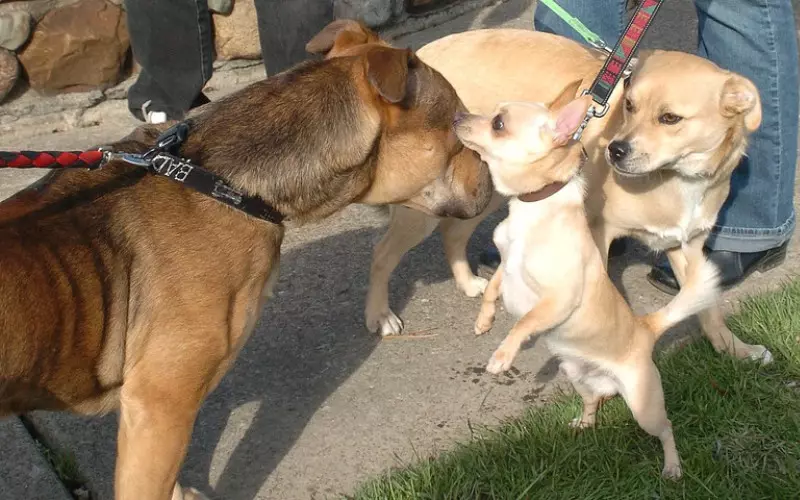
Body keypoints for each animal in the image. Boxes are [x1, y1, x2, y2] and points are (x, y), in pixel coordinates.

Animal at [352, 27, 768, 362]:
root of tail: (419, 55)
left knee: (453, 231)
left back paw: (468, 282)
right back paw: (379, 315)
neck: (676, 179)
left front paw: (734, 349)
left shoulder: (688, 248)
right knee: (382, 254)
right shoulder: (597, 235)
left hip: (484, 190)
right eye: (629, 106)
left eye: (670, 118)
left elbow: (708, 306)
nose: (615, 150)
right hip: (423, 205)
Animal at [454, 84, 720, 478]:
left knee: (666, 429)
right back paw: (584, 423)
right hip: (578, 379)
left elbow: (525, 322)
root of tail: (644, 329)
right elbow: (492, 289)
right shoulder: (506, 261)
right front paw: (484, 321)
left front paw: (502, 355)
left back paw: (672, 467)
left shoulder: (559, 297)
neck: (532, 209)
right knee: (593, 402)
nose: (458, 116)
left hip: (644, 408)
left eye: (498, 123)